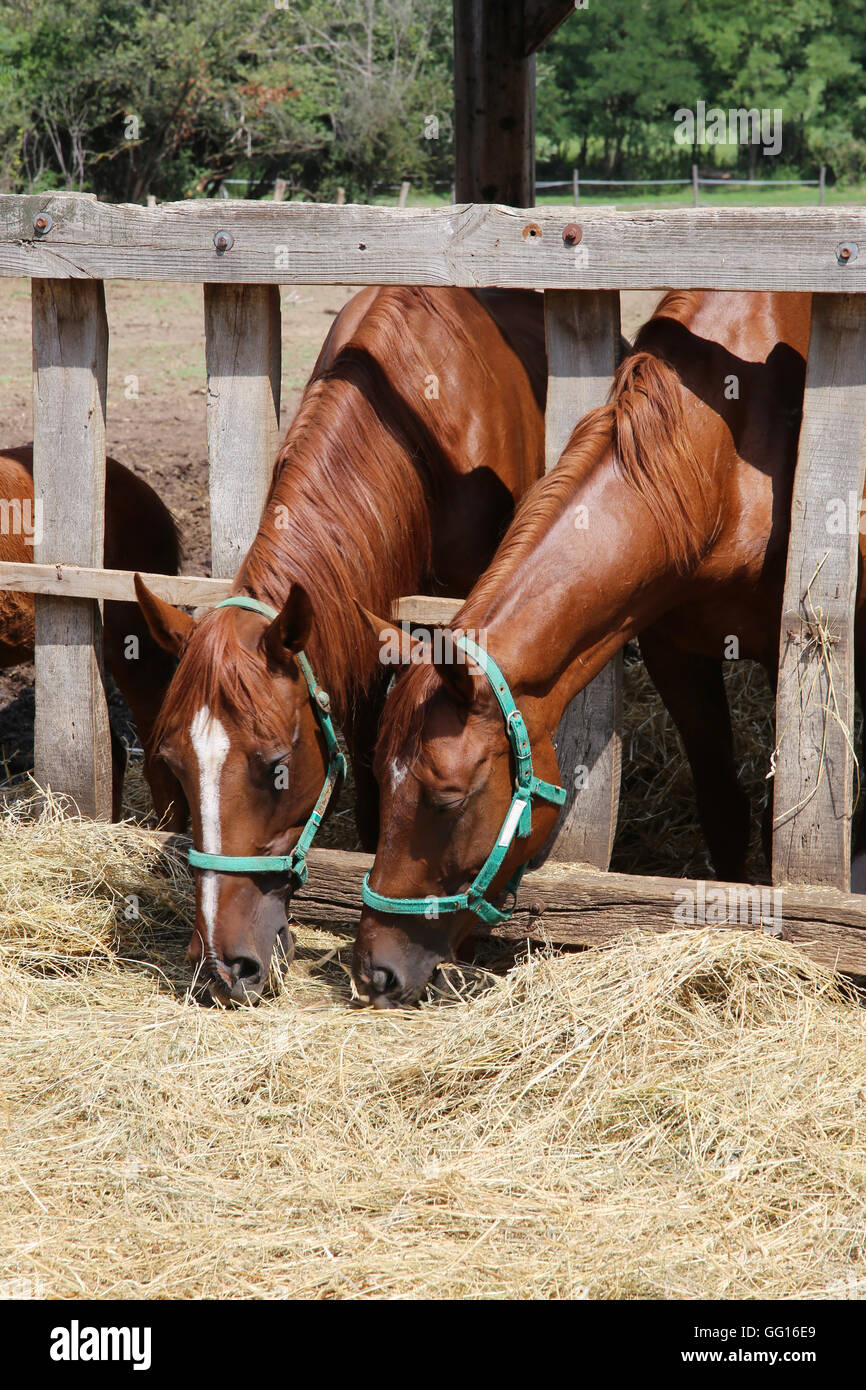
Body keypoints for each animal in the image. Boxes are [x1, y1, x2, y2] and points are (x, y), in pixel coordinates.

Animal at [352, 289, 866, 1008]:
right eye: (378, 776)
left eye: (447, 798)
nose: (375, 970)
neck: (719, 459)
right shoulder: (675, 652)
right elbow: (724, 809)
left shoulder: (782, 652)